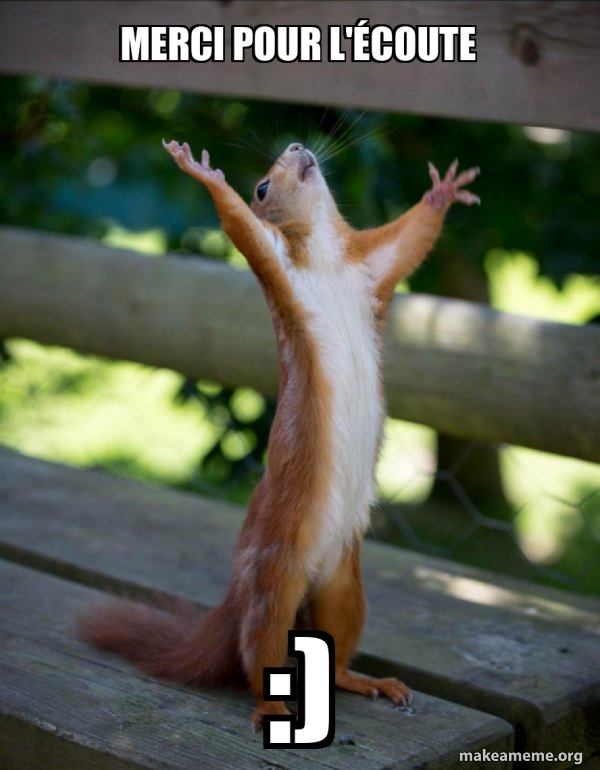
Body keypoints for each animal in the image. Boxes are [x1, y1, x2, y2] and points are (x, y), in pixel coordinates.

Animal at [77, 138, 480, 731]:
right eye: (262, 187)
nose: (296, 146)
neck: (326, 257)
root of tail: (239, 594)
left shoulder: (371, 267)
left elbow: (409, 240)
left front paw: (443, 192)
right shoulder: (277, 265)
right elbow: (240, 226)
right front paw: (204, 174)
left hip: (344, 588)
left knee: (334, 654)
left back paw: (366, 681)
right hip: (274, 581)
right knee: (258, 651)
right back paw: (271, 704)